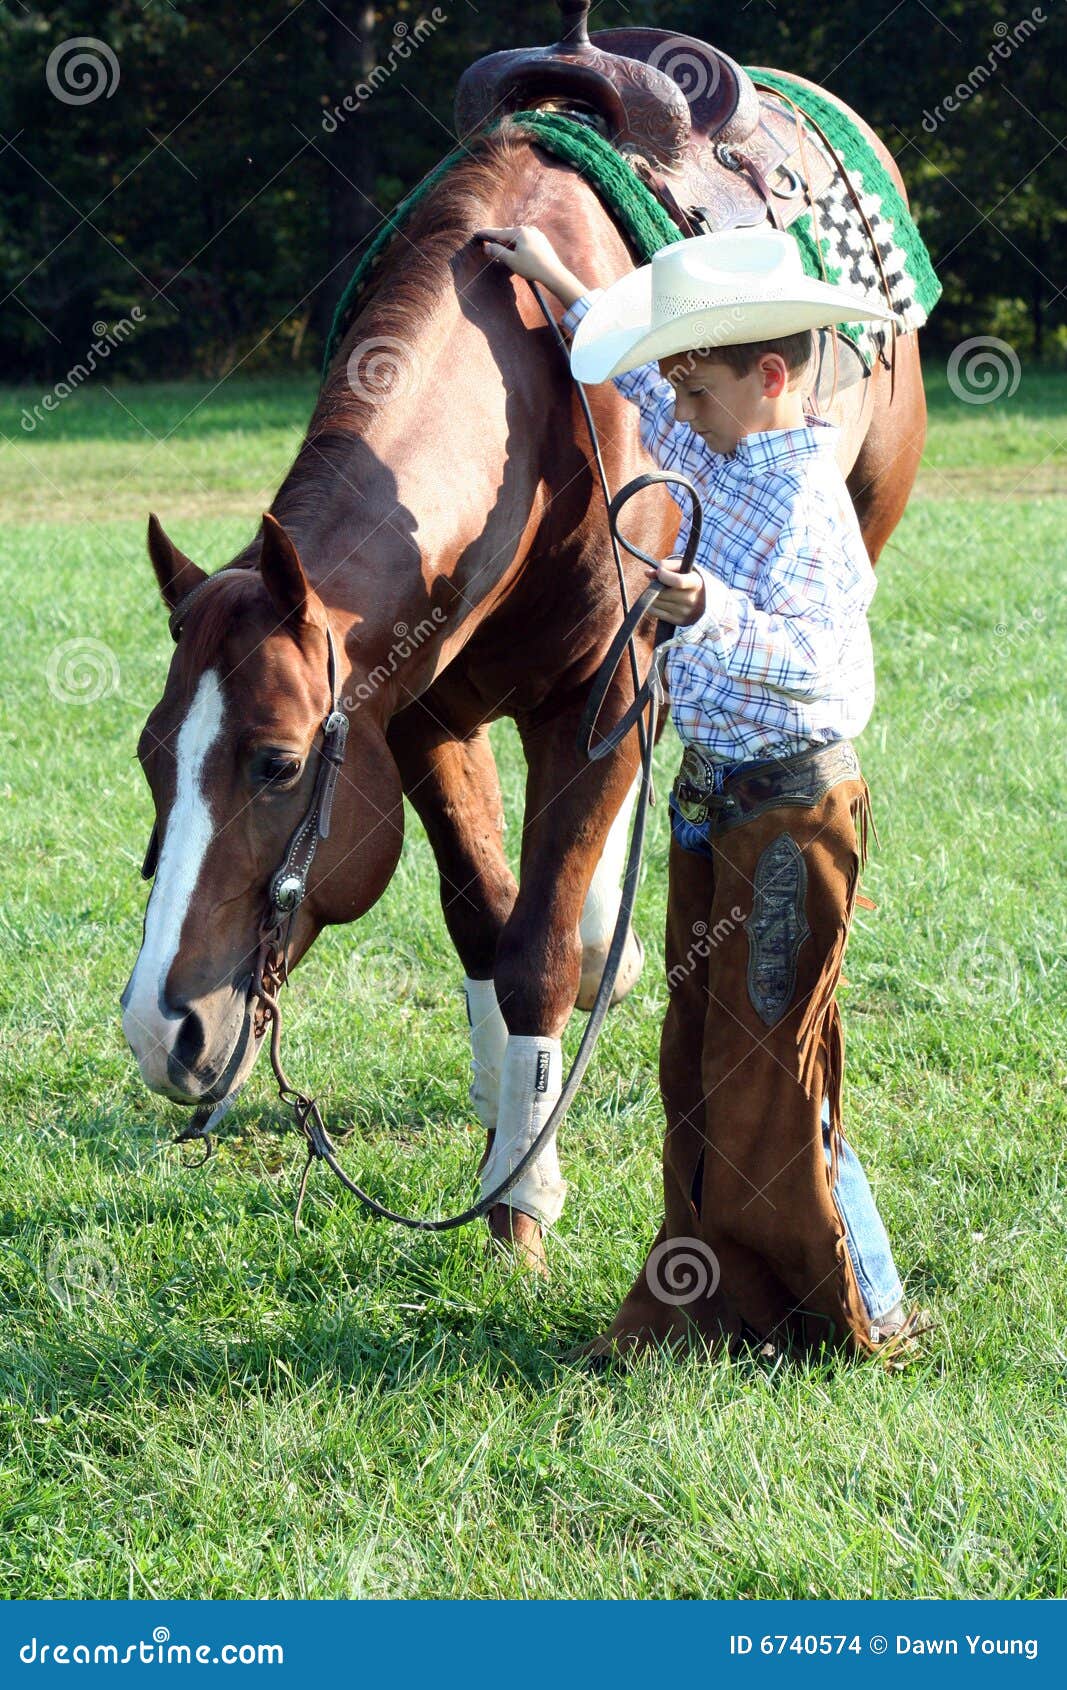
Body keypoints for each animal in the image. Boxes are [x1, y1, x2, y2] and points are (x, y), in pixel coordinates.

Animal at [121, 103, 927, 1274]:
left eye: (276, 763)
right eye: (150, 757)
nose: (159, 1027)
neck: (536, 409)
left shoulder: (600, 694)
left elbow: (536, 949)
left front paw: (520, 1204)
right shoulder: (417, 718)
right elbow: (481, 916)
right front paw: (506, 1118)